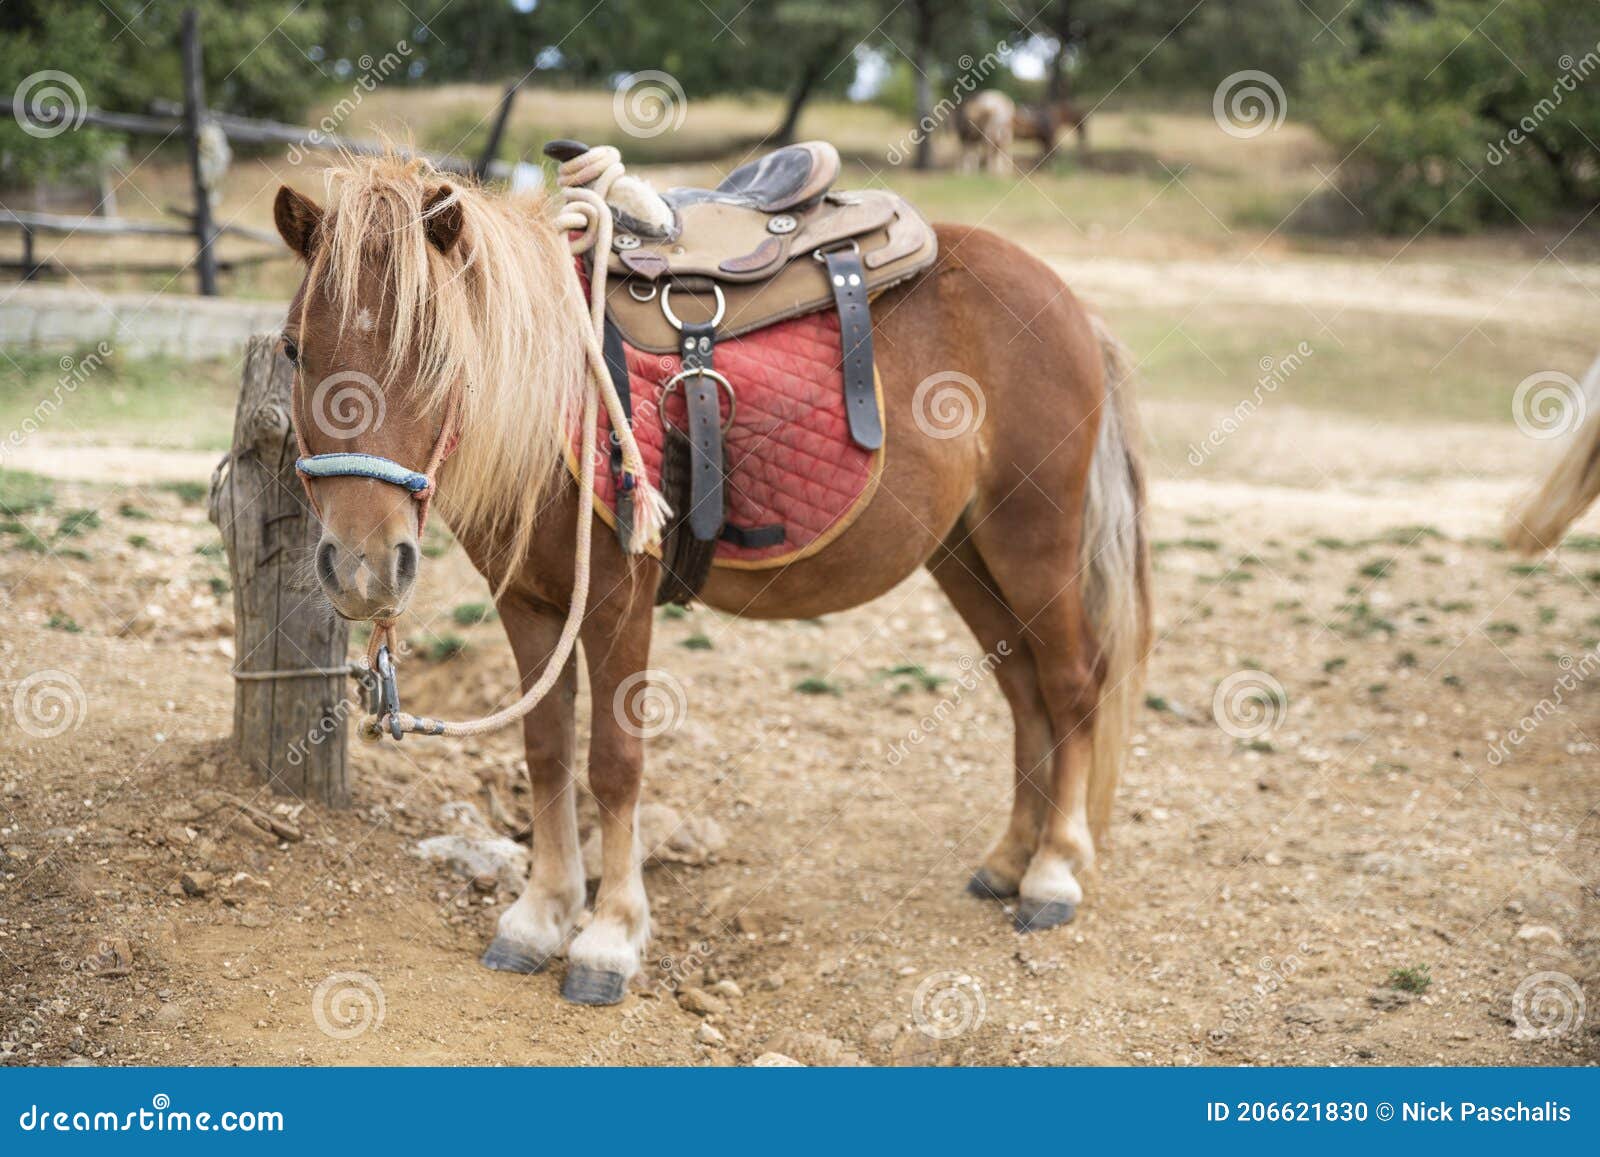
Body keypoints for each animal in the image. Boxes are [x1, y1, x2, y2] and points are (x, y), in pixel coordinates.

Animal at [271, 152, 1151, 1005]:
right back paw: (1009, 857)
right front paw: (540, 914)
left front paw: (609, 938)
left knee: (1072, 681)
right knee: (1026, 690)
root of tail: (1070, 304)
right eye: (292, 350)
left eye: (434, 350)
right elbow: (546, 752)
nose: (362, 564)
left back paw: (1054, 869)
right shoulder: (529, 602)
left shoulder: (619, 601)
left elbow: (614, 764)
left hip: (1032, 537)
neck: (558, 394)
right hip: (965, 553)